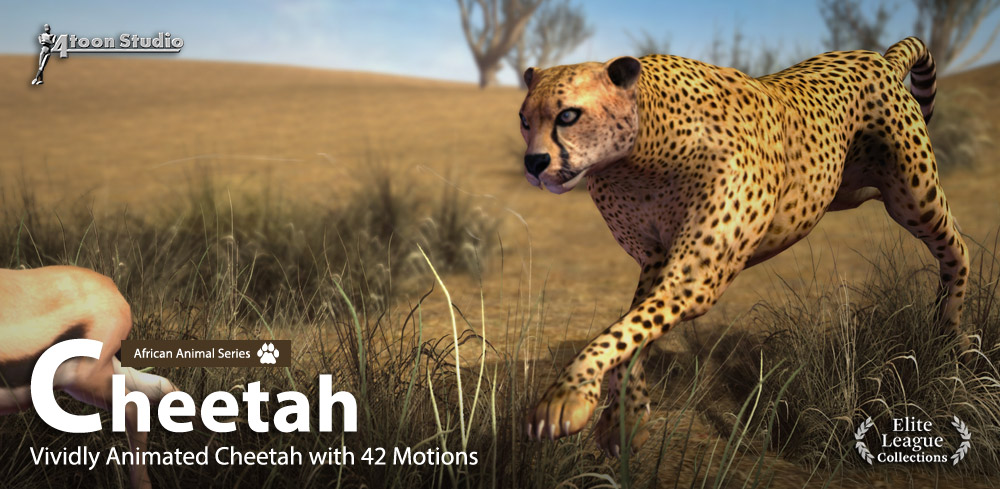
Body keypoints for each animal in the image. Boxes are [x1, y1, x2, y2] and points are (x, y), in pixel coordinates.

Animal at [517, 37, 969, 456]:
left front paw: (565, 397)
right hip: (849, 190)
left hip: (914, 196)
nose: (534, 164)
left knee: (957, 247)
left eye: (568, 115)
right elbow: (632, 334)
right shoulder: (656, 260)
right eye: (524, 119)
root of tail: (878, 57)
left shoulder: (694, 278)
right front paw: (624, 420)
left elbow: (624, 330)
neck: (644, 148)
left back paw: (949, 340)